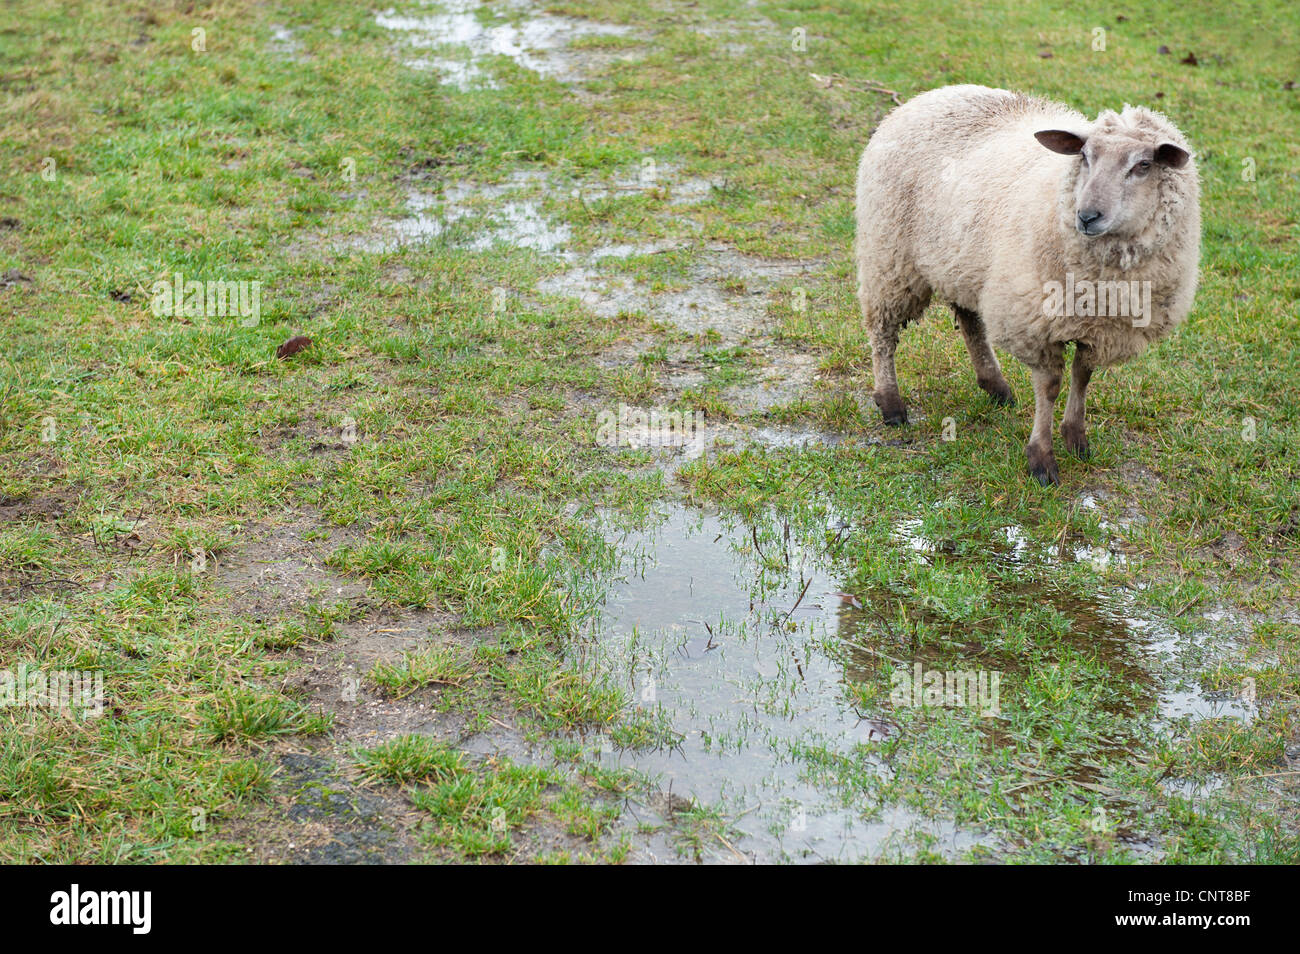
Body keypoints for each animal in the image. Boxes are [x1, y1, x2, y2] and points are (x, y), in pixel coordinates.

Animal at [854, 85, 1200, 484]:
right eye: (1085, 156)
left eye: (1143, 166)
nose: (1087, 216)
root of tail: (930, 95)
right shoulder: (1035, 322)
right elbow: (1049, 386)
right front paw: (1042, 459)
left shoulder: (1099, 327)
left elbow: (1083, 376)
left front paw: (1076, 438)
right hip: (889, 256)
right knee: (882, 330)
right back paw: (891, 403)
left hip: (963, 262)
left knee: (970, 321)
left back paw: (995, 385)